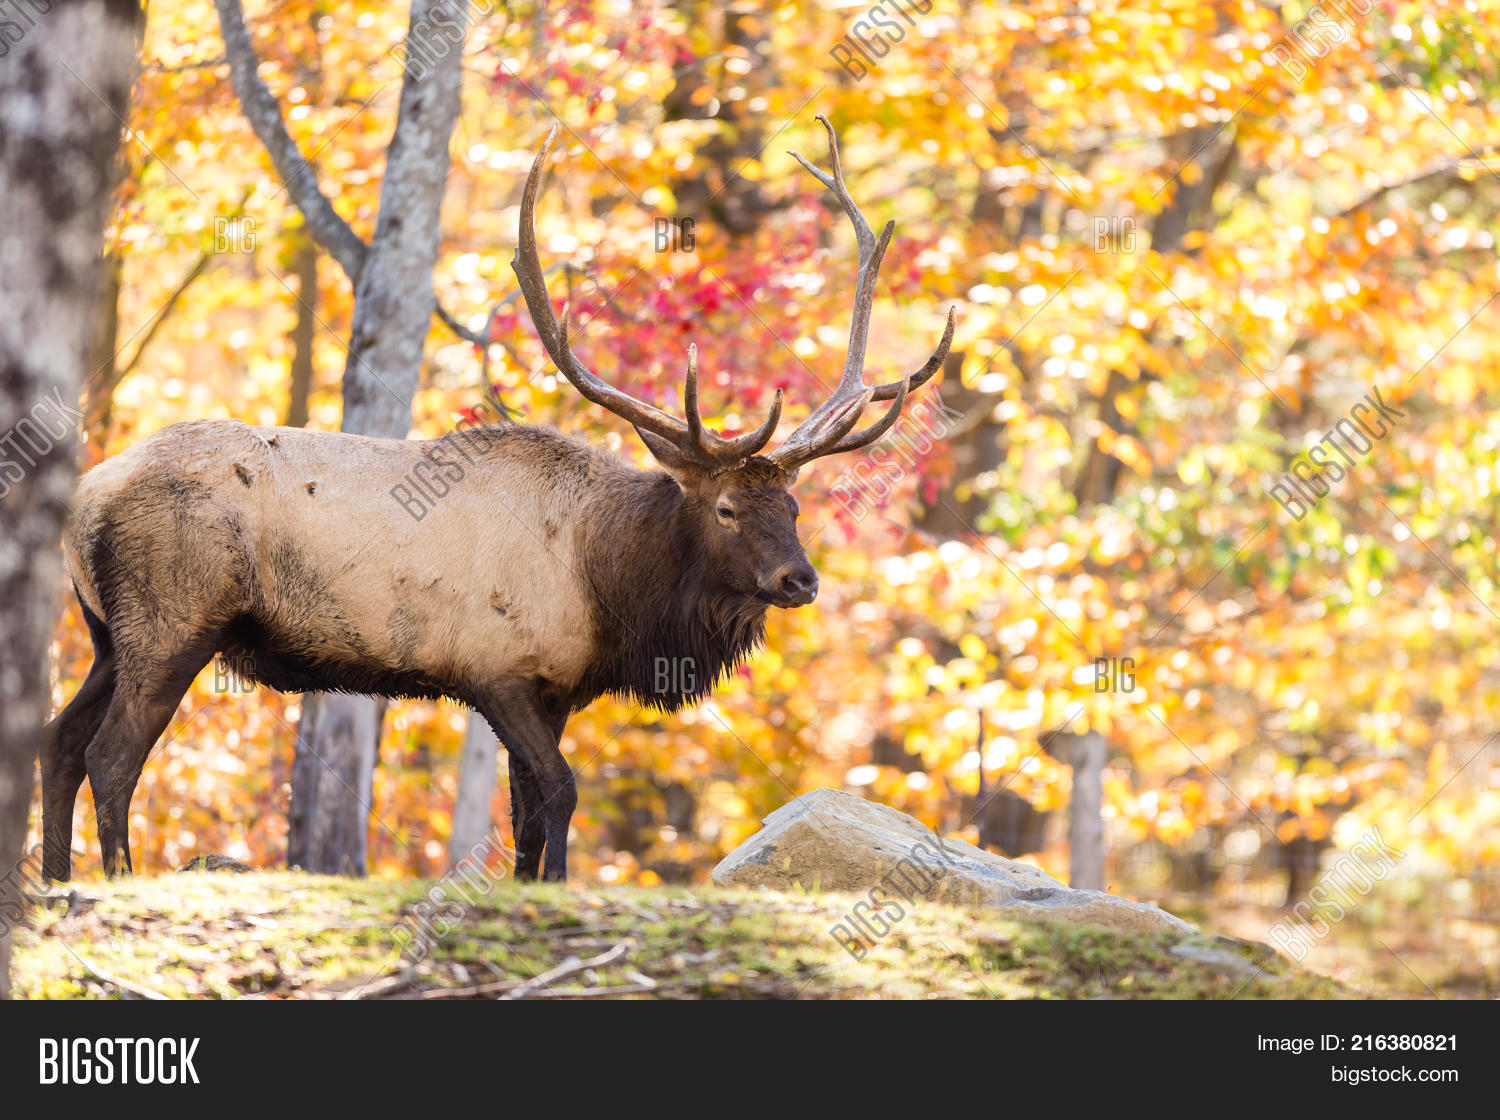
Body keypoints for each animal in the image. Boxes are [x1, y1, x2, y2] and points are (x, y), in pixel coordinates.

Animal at [40, 115, 956, 883]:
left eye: (795, 509)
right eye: (727, 507)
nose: (800, 580)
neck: (609, 588)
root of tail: (84, 498)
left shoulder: (555, 687)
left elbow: (526, 811)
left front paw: (526, 887)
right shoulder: (494, 669)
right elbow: (559, 793)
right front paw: (552, 890)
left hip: (107, 633)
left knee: (57, 743)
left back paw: (53, 884)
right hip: (173, 619)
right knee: (110, 757)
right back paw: (115, 880)